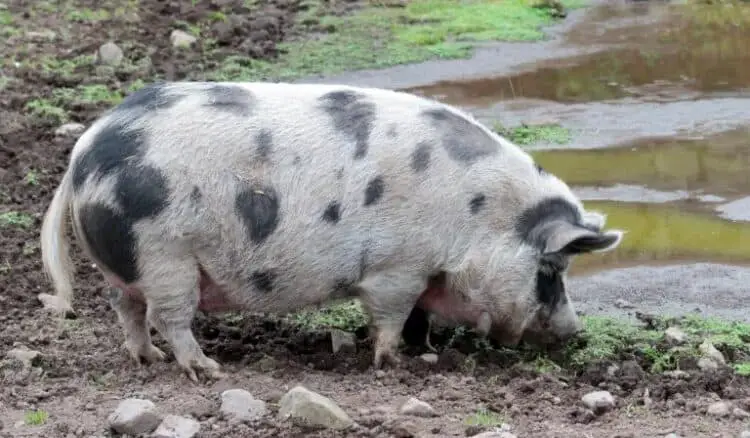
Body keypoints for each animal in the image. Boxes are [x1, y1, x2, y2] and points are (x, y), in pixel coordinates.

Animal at [40, 81, 623, 382]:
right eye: (551, 268)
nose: (573, 332)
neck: (477, 216)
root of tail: (83, 151)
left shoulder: (422, 271)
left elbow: (420, 316)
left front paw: (427, 351)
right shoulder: (395, 265)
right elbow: (391, 315)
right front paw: (392, 362)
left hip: (129, 266)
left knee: (126, 309)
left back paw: (148, 360)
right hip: (166, 255)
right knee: (169, 317)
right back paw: (207, 369)